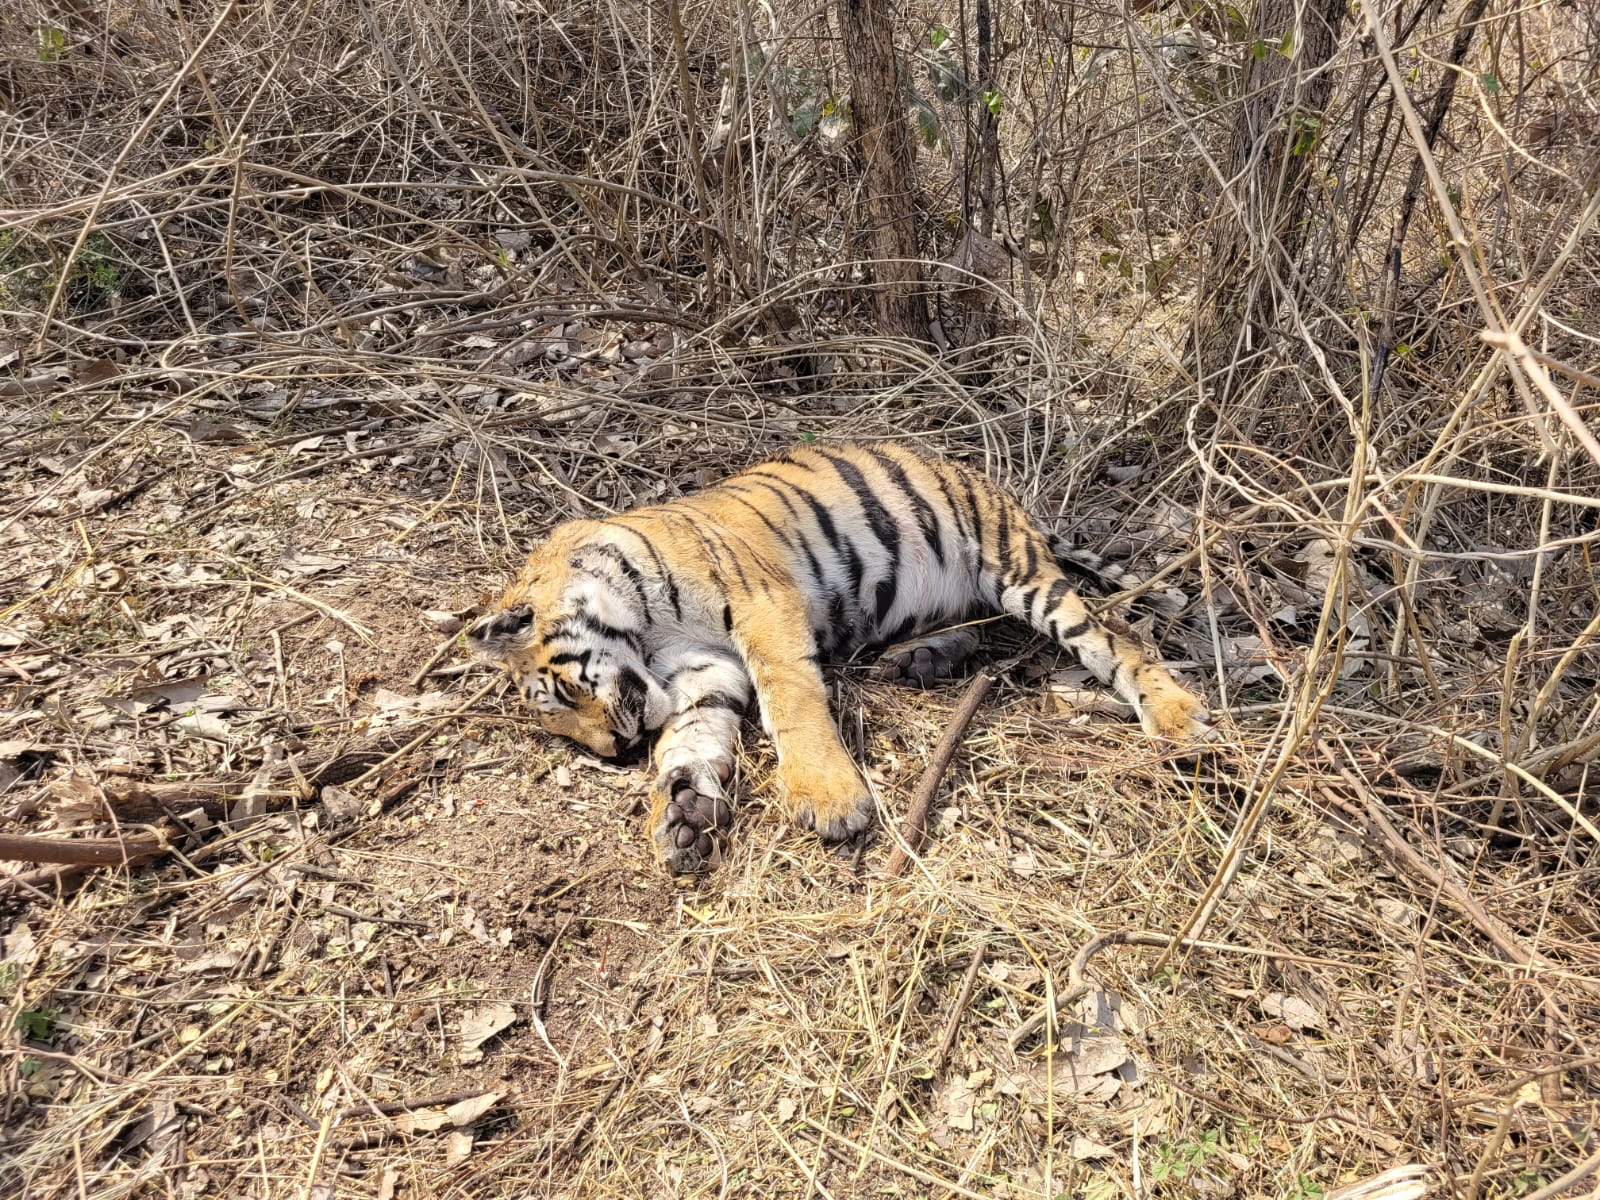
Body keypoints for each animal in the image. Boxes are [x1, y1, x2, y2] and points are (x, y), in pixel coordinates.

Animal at [467, 442, 1209, 874]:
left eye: (564, 696)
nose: (616, 750)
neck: (647, 636)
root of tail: (986, 481)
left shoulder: (762, 604)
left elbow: (790, 700)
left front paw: (828, 799)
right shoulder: (703, 672)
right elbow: (692, 739)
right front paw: (681, 816)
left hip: (1016, 571)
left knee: (1116, 639)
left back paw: (1178, 719)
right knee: (978, 626)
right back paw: (919, 661)